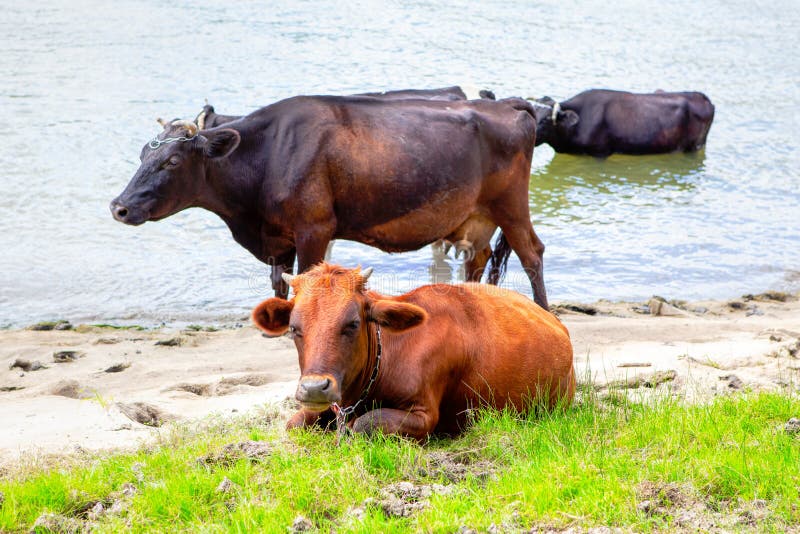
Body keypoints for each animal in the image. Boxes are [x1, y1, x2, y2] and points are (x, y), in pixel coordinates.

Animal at [111, 93, 550, 308]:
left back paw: (545, 313)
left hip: (511, 205)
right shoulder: (279, 238)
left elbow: (308, 279)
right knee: (479, 260)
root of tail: (507, 104)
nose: (119, 206)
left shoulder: (314, 228)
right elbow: (279, 285)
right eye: (142, 154)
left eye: (171, 161)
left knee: (532, 253)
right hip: (475, 217)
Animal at [251, 263, 575, 441]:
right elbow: (295, 422)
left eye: (353, 323)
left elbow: (363, 424)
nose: (314, 387)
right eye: (294, 327)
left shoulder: (424, 415)